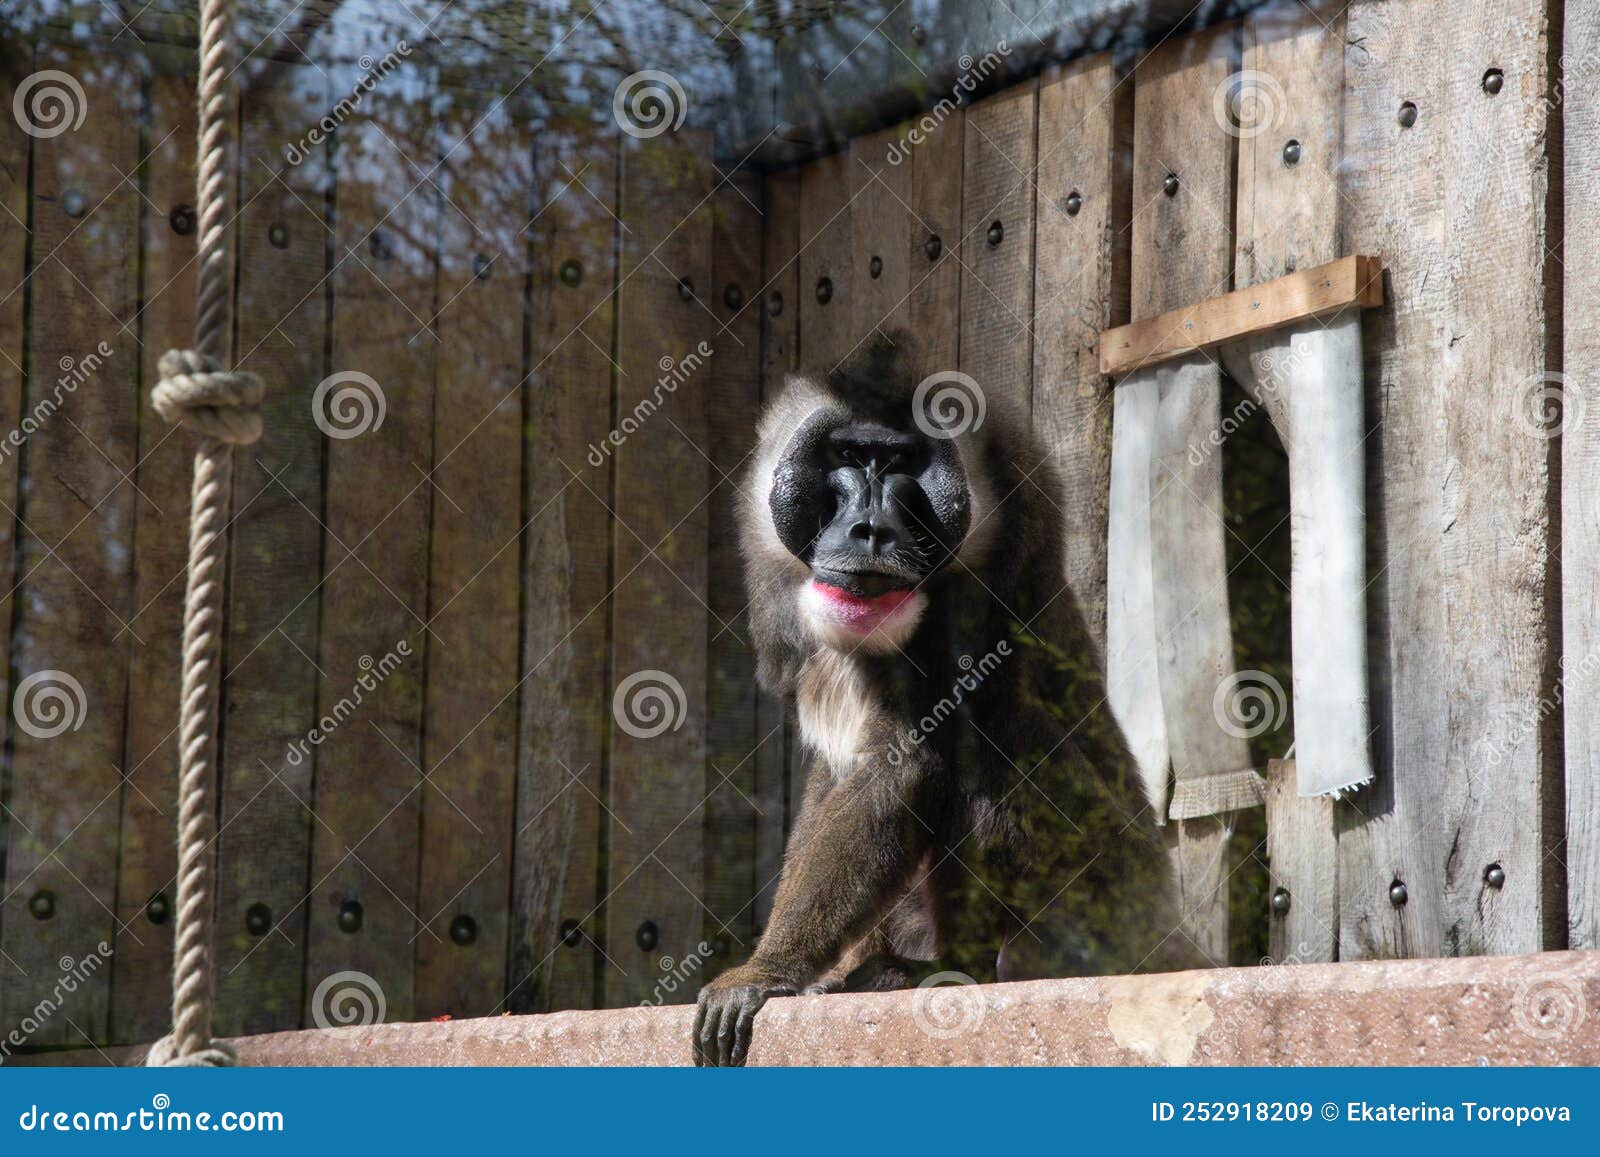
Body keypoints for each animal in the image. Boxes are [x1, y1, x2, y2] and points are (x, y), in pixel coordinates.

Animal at [692, 332, 1195, 1066]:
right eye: (848, 457)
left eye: (902, 464)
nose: (870, 529)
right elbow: (836, 780)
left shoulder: (965, 616)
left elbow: (904, 767)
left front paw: (762, 973)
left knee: (989, 751)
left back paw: (951, 967)